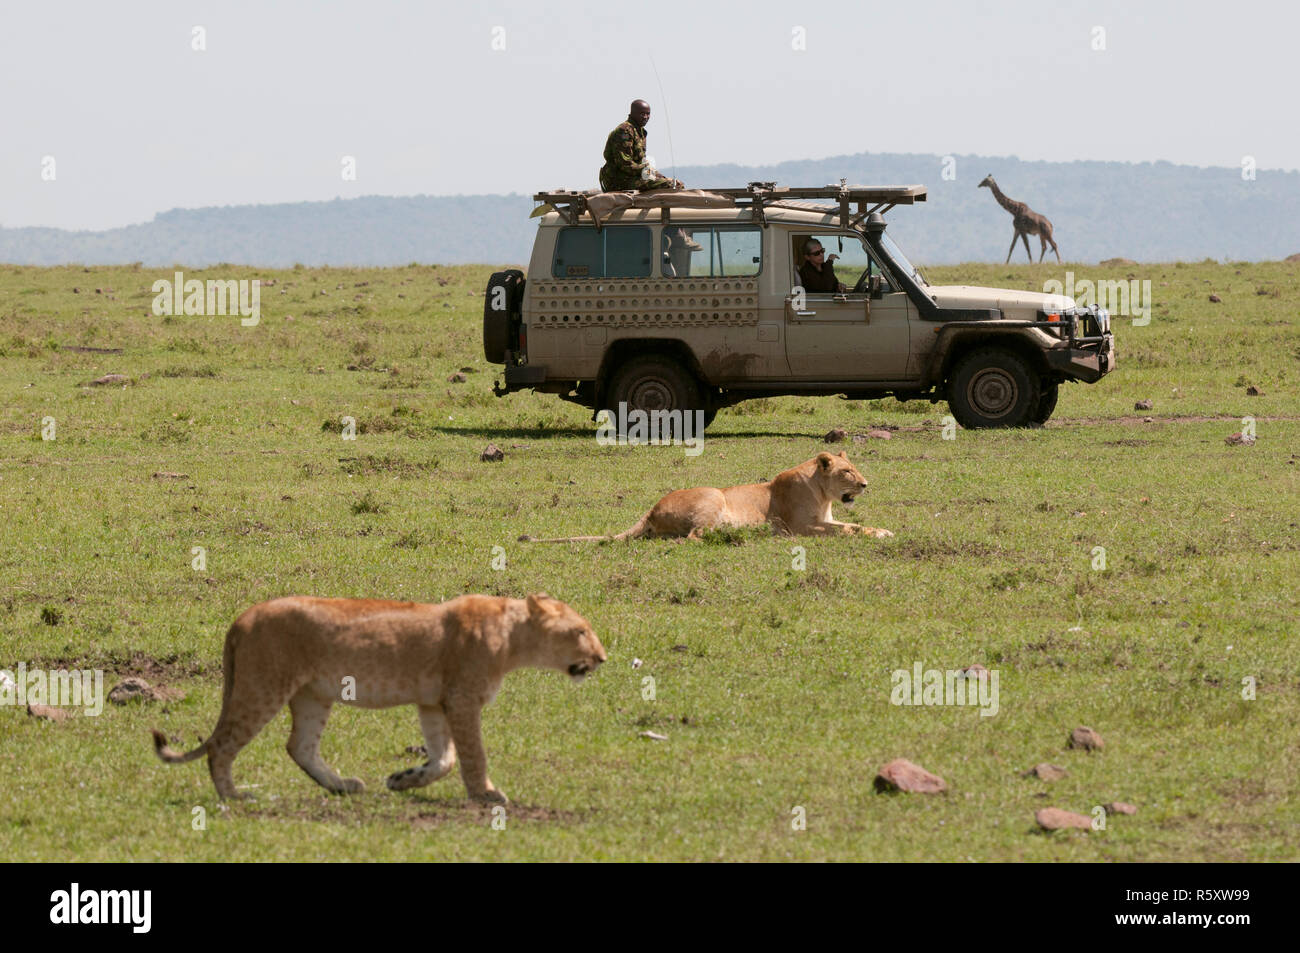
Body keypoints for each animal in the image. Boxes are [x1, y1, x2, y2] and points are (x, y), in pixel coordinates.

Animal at [151, 593, 605, 804]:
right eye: (581, 630)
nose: (603, 657)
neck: (513, 635)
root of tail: (241, 619)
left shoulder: (433, 702)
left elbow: (444, 758)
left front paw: (404, 779)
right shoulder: (462, 699)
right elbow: (472, 754)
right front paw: (487, 794)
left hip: (312, 695)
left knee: (299, 746)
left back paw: (342, 786)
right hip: (263, 687)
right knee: (222, 746)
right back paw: (236, 796)